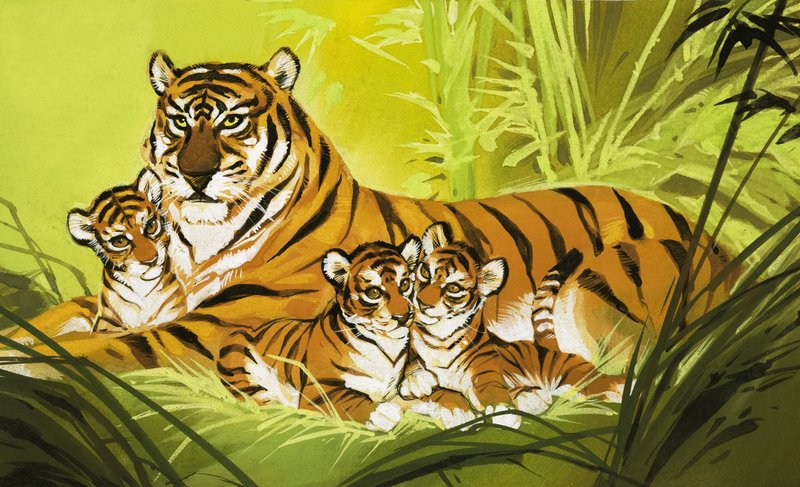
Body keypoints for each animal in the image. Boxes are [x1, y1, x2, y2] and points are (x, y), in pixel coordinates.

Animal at [23, 46, 735, 379]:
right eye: (178, 122)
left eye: (230, 121)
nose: (195, 175)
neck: (197, 243)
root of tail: (722, 245)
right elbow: (57, 319)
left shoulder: (215, 324)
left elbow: (101, 349)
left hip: (595, 285)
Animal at [216, 238, 420, 431]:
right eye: (374, 292)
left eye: (405, 284)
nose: (403, 316)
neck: (387, 343)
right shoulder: (321, 390)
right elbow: (354, 400)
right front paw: (386, 413)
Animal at [400, 223, 627, 428]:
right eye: (424, 272)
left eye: (453, 288)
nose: (422, 302)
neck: (439, 337)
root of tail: (544, 344)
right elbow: (440, 390)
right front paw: (456, 410)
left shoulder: (485, 369)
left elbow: (492, 389)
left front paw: (503, 412)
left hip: (573, 373)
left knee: (604, 381)